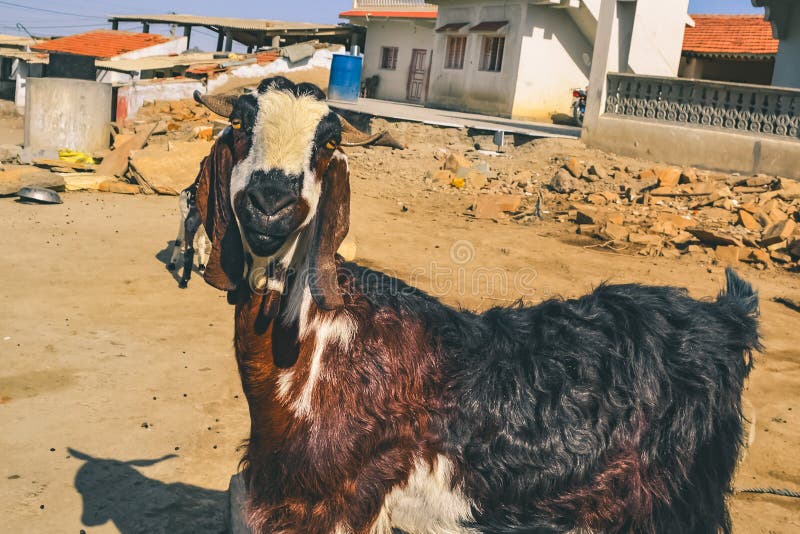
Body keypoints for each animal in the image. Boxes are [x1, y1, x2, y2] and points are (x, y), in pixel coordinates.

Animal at [193, 76, 760, 534]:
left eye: (328, 142)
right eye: (240, 123)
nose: (269, 203)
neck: (314, 349)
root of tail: (726, 317)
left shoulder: (338, 508)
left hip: (680, 501)